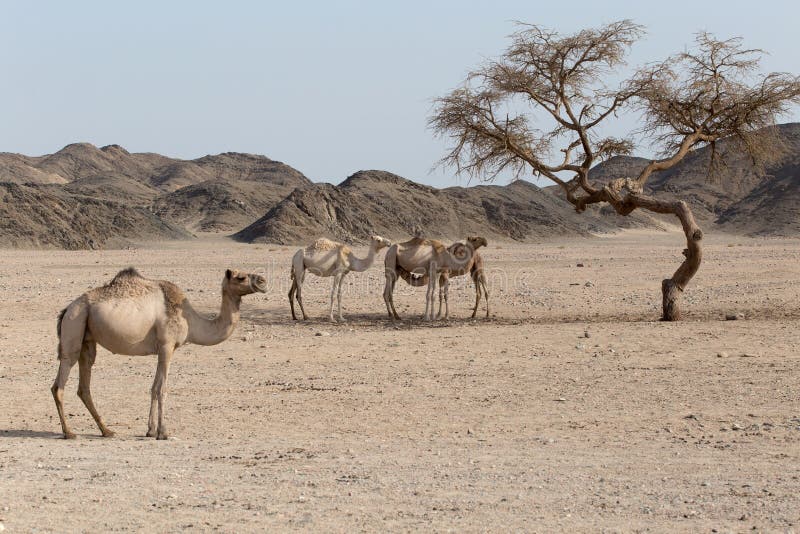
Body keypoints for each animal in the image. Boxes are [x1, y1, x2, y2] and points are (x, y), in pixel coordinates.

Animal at [51, 267, 267, 440]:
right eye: (241, 277)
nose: (263, 281)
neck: (190, 320)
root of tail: (67, 308)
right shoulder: (167, 346)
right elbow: (162, 388)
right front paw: (163, 432)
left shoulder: (162, 349)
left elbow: (154, 387)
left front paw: (150, 430)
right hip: (75, 322)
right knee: (61, 380)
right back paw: (69, 432)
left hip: (87, 336)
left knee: (84, 384)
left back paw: (107, 431)